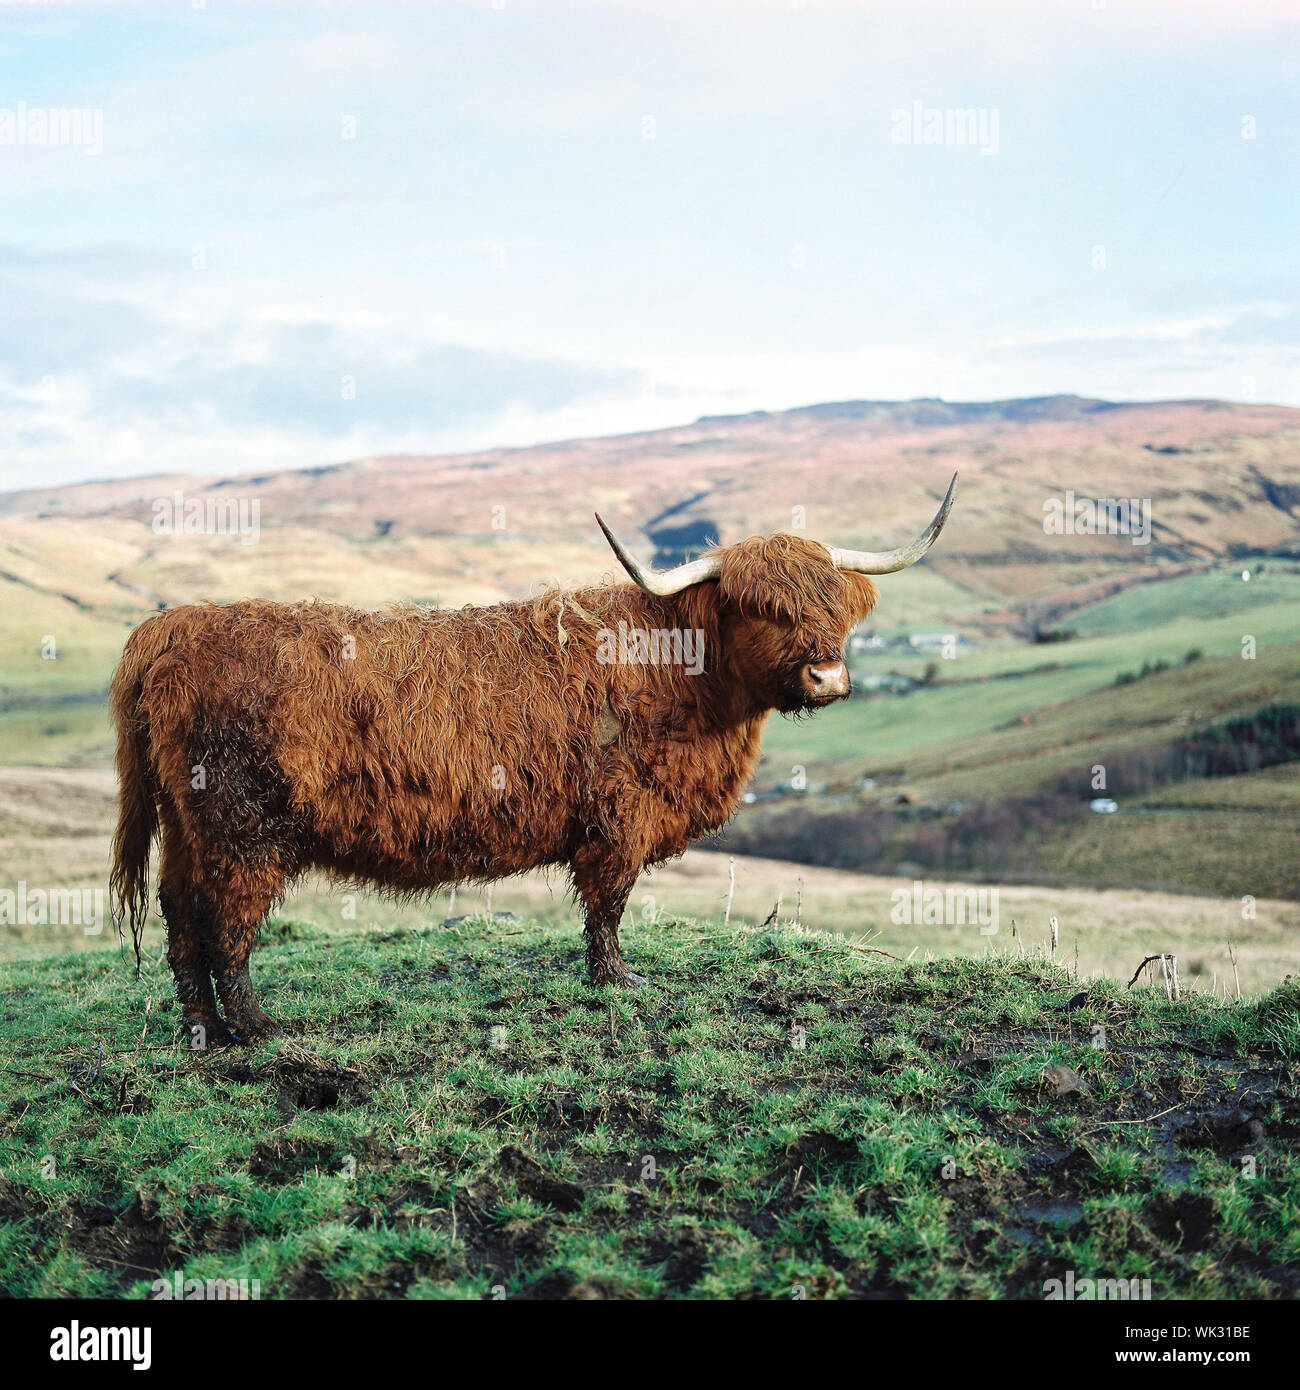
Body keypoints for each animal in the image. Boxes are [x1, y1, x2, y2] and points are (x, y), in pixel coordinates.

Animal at [109, 476, 956, 1043]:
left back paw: (203, 1031)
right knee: (225, 922)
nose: (828, 677)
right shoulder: (620, 816)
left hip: (189, 825)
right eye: (761, 607)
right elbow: (609, 904)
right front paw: (619, 982)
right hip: (241, 826)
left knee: (180, 914)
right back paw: (257, 1028)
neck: (685, 672)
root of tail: (170, 627)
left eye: (833, 604)